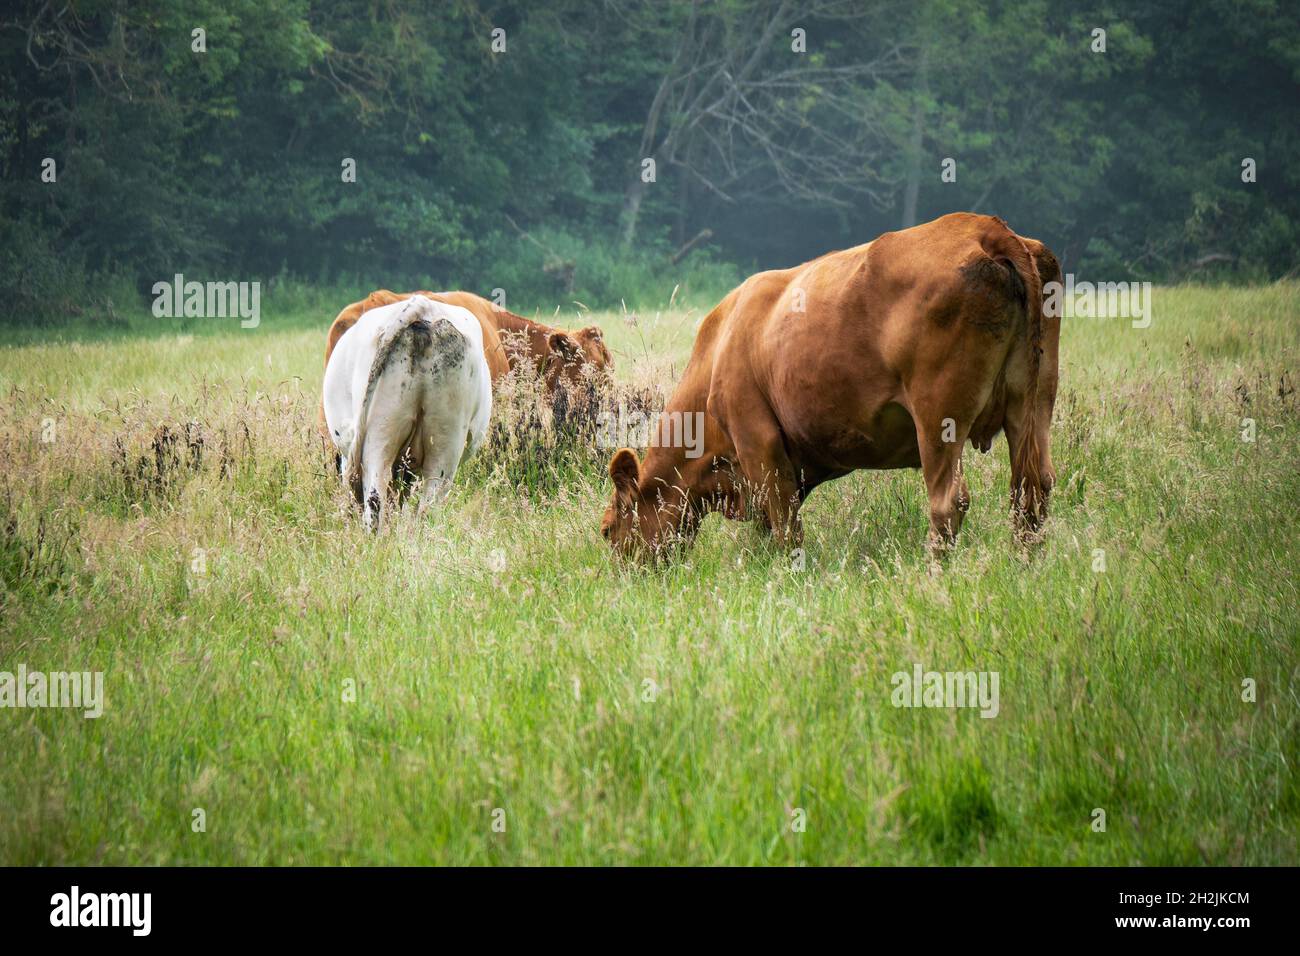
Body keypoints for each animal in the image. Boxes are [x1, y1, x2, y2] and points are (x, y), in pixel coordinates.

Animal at [600, 213, 1061, 559]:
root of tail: (987, 228)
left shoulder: (758, 443)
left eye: (607, 530)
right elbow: (770, 525)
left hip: (938, 417)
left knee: (949, 501)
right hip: (1035, 402)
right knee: (1032, 492)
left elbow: (784, 527)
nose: (627, 579)